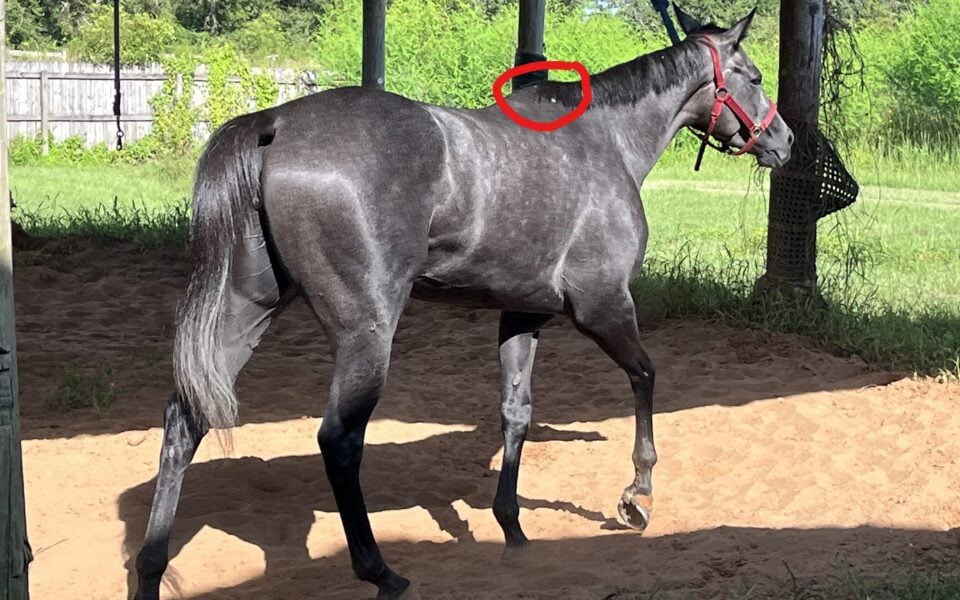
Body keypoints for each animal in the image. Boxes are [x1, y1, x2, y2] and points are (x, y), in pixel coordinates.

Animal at [133, 6, 792, 599]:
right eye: (756, 77)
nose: (784, 140)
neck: (604, 141)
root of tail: (276, 124)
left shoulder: (523, 314)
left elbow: (515, 411)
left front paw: (512, 527)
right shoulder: (604, 306)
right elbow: (646, 377)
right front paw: (639, 495)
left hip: (246, 312)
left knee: (185, 421)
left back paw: (150, 569)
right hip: (365, 332)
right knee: (339, 440)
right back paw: (381, 572)